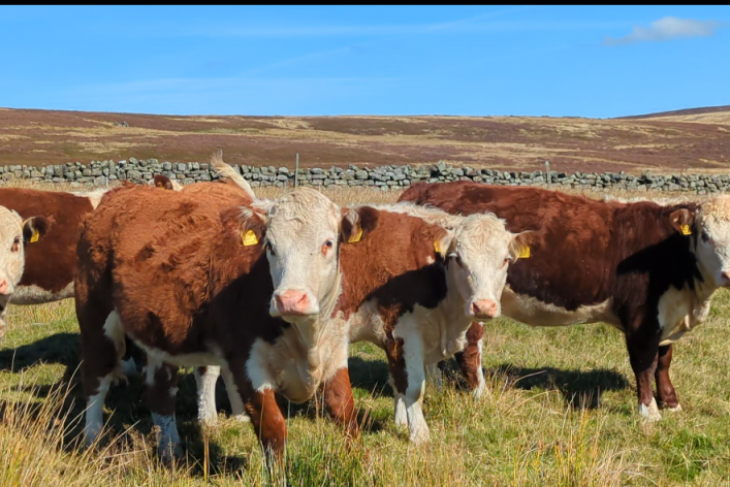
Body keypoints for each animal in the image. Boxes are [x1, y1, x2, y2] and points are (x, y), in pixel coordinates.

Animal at [399, 181, 730, 421]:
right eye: (705, 235)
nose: (728, 273)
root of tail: (428, 187)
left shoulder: (667, 312)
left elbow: (664, 360)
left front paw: (671, 402)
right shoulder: (642, 317)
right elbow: (644, 364)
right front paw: (649, 413)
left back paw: (436, 386)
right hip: (475, 299)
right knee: (470, 345)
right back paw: (481, 394)